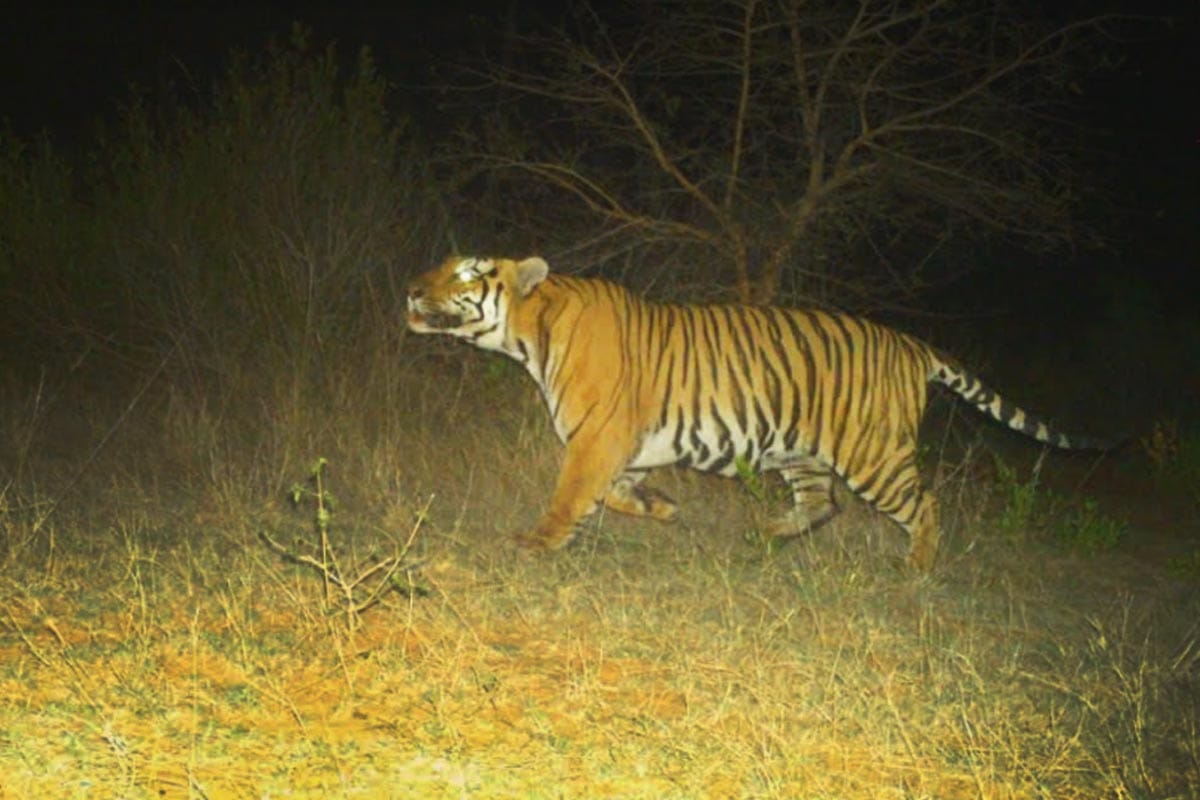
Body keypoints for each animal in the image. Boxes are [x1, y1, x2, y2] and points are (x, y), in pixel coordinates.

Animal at [406, 255, 1110, 571]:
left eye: (466, 273)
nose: (412, 289)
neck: (531, 332)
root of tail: (913, 345)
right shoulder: (621, 444)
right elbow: (613, 494)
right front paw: (661, 507)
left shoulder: (596, 439)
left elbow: (572, 495)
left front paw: (538, 542)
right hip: (805, 451)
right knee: (823, 505)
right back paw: (763, 535)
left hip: (873, 454)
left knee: (923, 502)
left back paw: (917, 568)